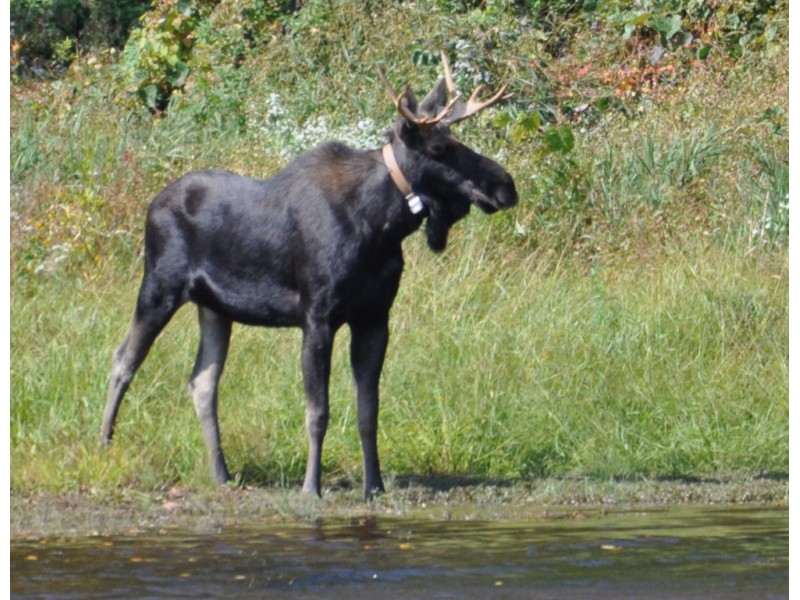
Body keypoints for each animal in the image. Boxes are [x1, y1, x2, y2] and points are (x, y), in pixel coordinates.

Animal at [100, 54, 517, 500]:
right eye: (440, 147)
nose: (506, 185)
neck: (382, 224)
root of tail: (152, 203)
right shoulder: (317, 317)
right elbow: (318, 411)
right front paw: (310, 487)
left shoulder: (375, 318)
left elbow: (368, 411)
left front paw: (374, 487)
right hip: (159, 287)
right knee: (124, 359)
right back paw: (103, 445)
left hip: (214, 309)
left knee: (203, 381)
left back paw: (221, 473)